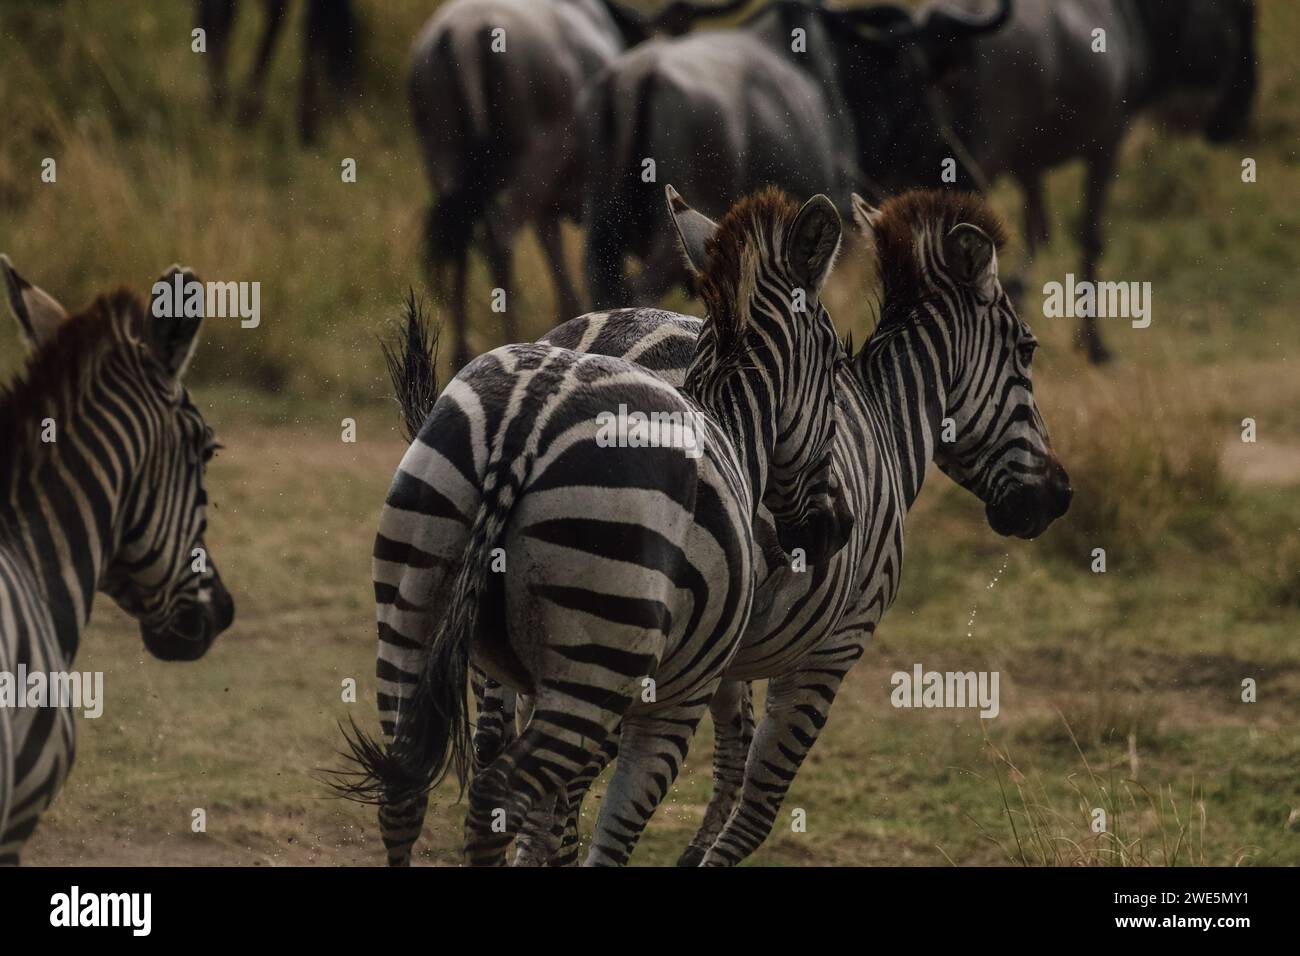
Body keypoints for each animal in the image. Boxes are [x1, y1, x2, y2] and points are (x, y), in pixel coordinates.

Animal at [333, 184, 854, 866]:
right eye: (838, 364)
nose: (834, 530)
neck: (734, 427)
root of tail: (526, 421)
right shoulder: (670, 703)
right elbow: (604, 836)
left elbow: (555, 823)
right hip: (592, 658)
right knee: (497, 793)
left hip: (409, 607)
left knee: (407, 792)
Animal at [410, 0, 749, 369]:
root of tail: (463, 32)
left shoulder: (552, 209)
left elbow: (559, 267)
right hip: (537, 162)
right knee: (500, 237)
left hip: (444, 163)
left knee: (461, 244)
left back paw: (461, 353)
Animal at [496, 188, 1074, 865]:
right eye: (1027, 350)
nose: (1058, 496)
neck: (888, 421)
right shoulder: (835, 646)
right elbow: (757, 804)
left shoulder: (722, 656)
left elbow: (729, 762)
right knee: (556, 786)